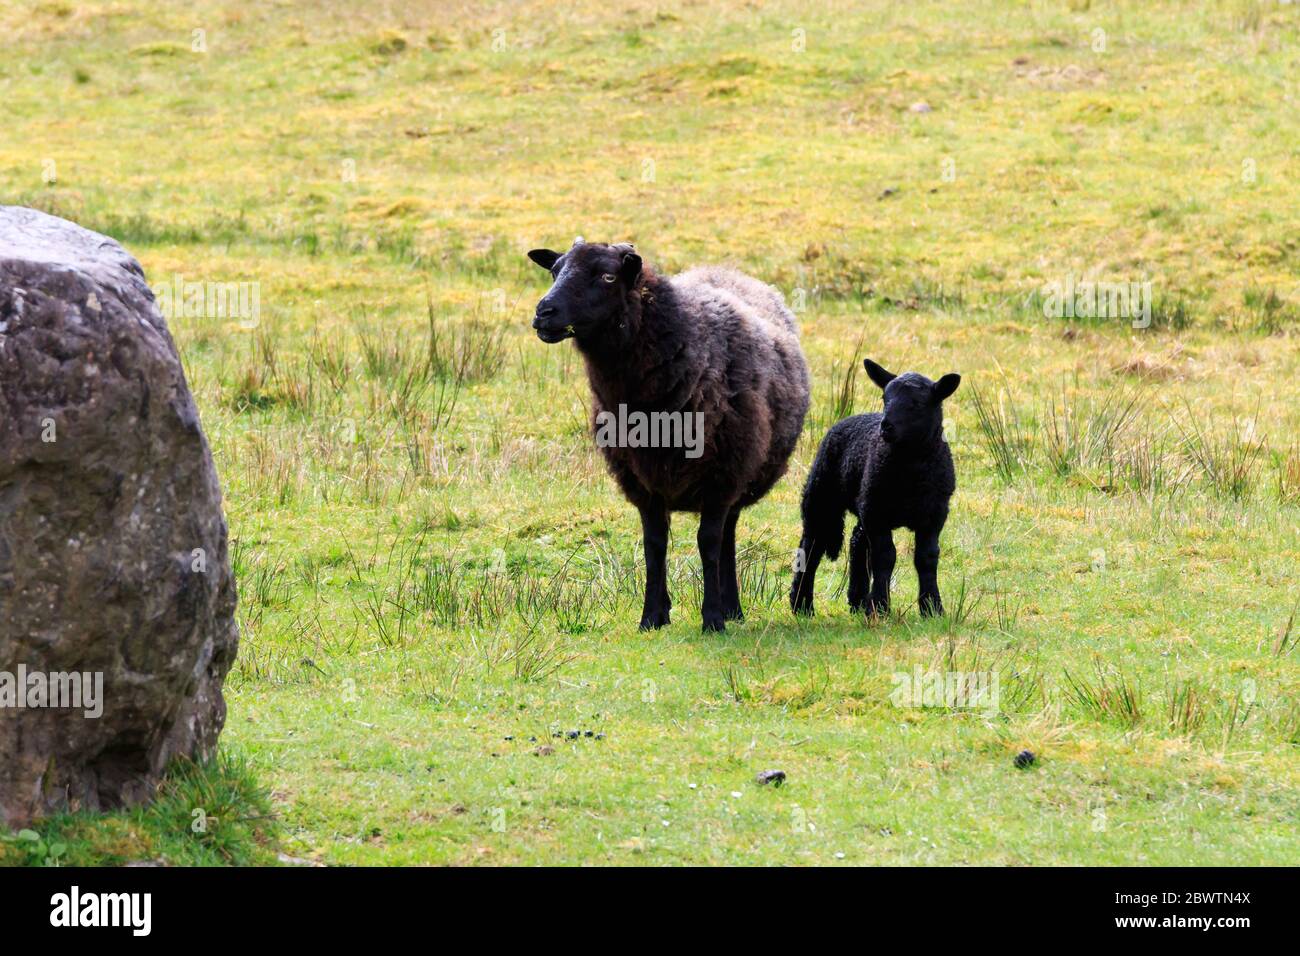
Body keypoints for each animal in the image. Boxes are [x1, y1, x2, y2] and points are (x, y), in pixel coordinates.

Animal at [527, 238, 810, 632]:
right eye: (555, 271)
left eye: (607, 276)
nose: (543, 313)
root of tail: (723, 270)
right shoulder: (641, 479)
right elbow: (654, 543)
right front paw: (652, 616)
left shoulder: (722, 474)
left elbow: (708, 542)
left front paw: (713, 619)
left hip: (741, 472)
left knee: (727, 535)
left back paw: (731, 609)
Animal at [790, 358, 960, 618]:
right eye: (884, 398)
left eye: (917, 403)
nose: (886, 426)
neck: (910, 470)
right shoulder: (877, 514)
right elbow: (885, 556)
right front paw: (879, 606)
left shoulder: (934, 514)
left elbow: (927, 557)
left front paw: (932, 607)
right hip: (823, 493)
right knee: (811, 547)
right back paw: (802, 604)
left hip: (864, 501)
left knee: (857, 541)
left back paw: (857, 599)